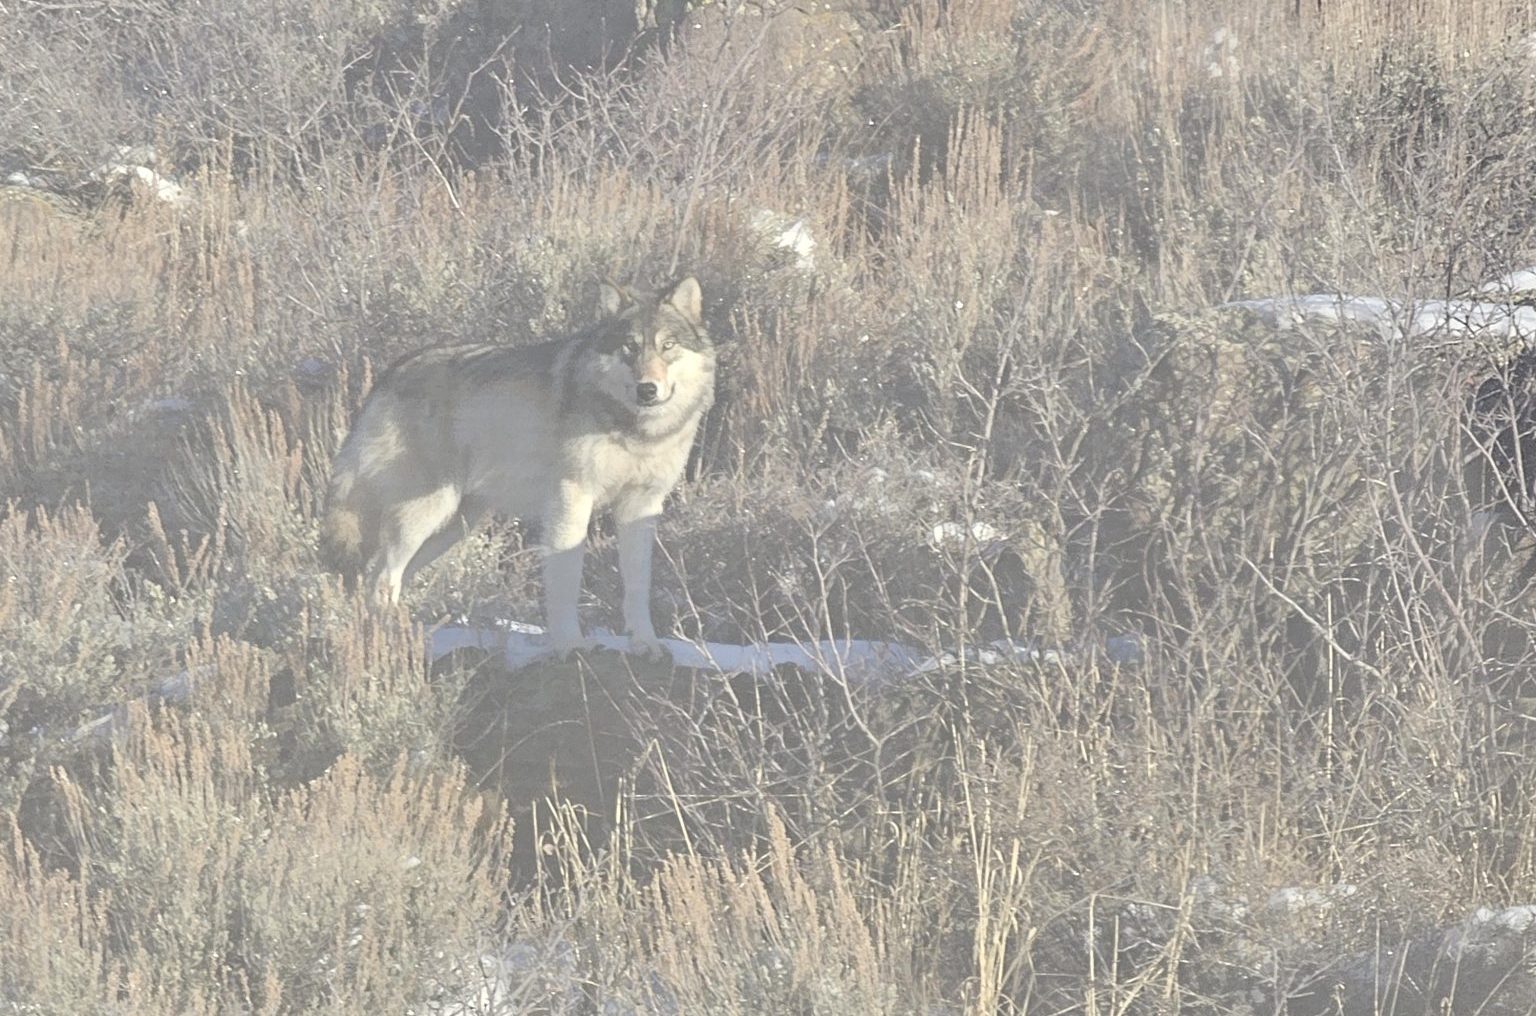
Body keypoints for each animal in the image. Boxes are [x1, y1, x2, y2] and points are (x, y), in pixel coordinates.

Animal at [320, 276, 714, 655]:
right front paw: (570, 645)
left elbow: (637, 585)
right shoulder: (572, 497)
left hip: (451, 527)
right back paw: (392, 642)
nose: (647, 389)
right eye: (629, 348)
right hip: (424, 516)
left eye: (668, 346)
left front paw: (645, 643)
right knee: (381, 578)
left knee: (379, 579)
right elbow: (567, 578)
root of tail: (390, 372)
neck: (635, 430)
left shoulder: (641, 507)